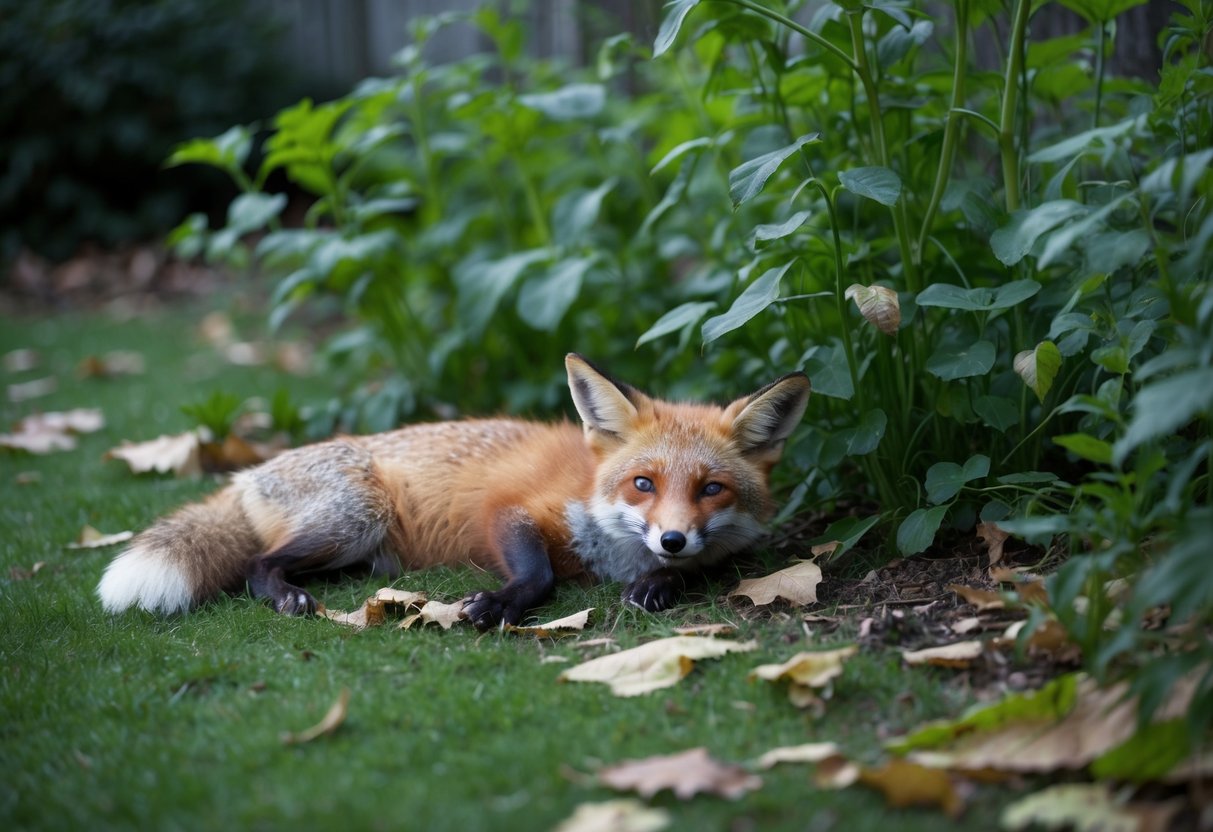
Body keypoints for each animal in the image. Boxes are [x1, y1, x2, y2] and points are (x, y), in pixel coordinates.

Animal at [97, 354, 810, 629]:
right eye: (643, 484)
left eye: (711, 489)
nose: (673, 537)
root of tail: (246, 473)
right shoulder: (510, 510)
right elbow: (538, 575)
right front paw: (495, 605)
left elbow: (688, 573)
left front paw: (658, 585)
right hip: (357, 516)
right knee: (253, 563)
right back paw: (285, 594)